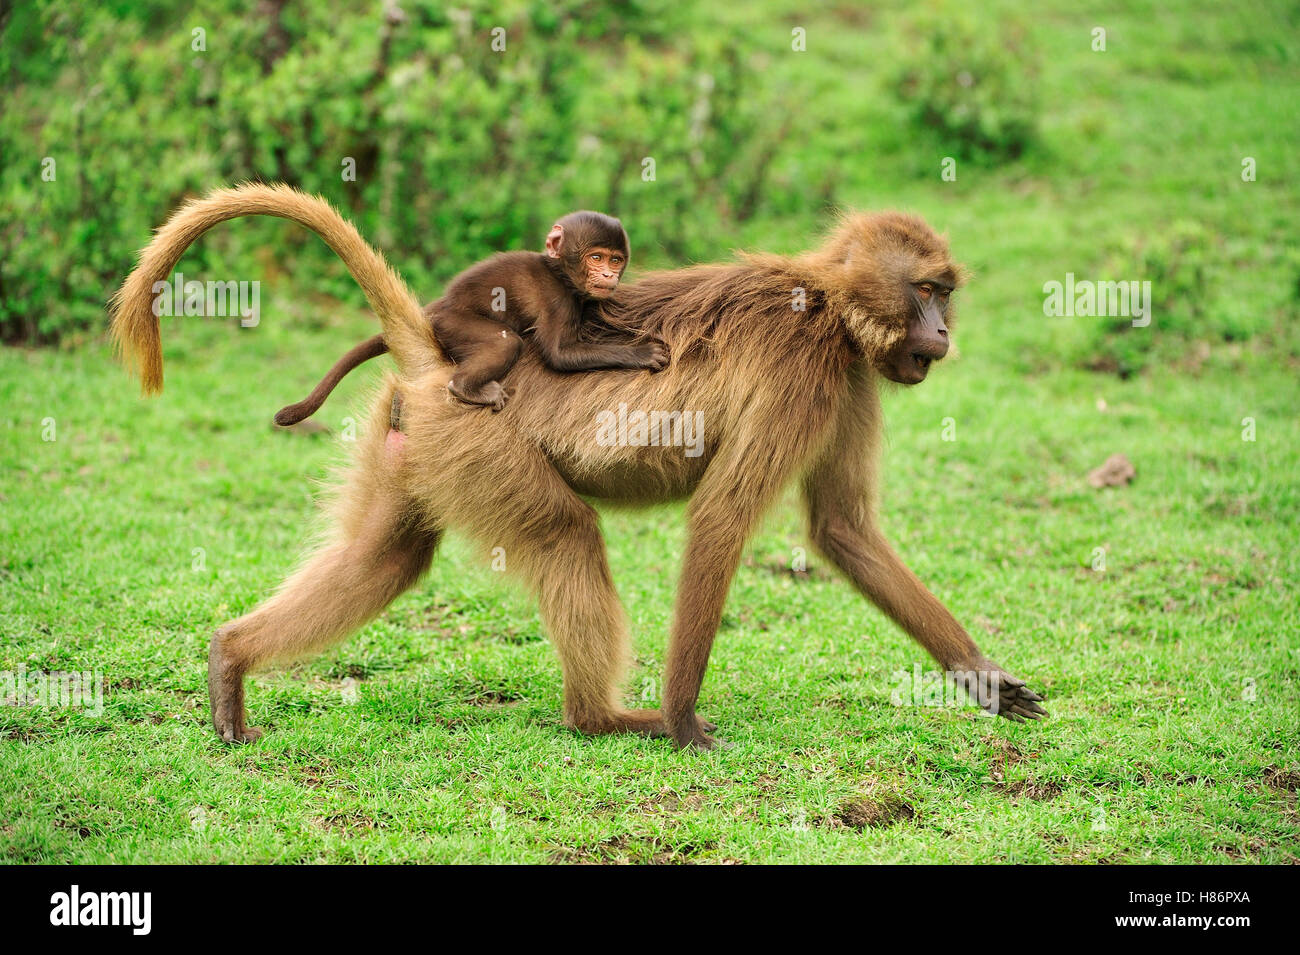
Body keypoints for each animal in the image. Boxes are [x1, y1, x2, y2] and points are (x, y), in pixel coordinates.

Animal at [110, 184, 1047, 751]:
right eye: (928, 291)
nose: (943, 334)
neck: (826, 306)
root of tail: (436, 354)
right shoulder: (804, 375)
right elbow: (723, 520)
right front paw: (685, 720)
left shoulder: (847, 381)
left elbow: (843, 529)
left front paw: (984, 679)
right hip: (482, 444)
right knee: (564, 533)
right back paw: (605, 717)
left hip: (415, 445)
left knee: (387, 558)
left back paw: (230, 662)